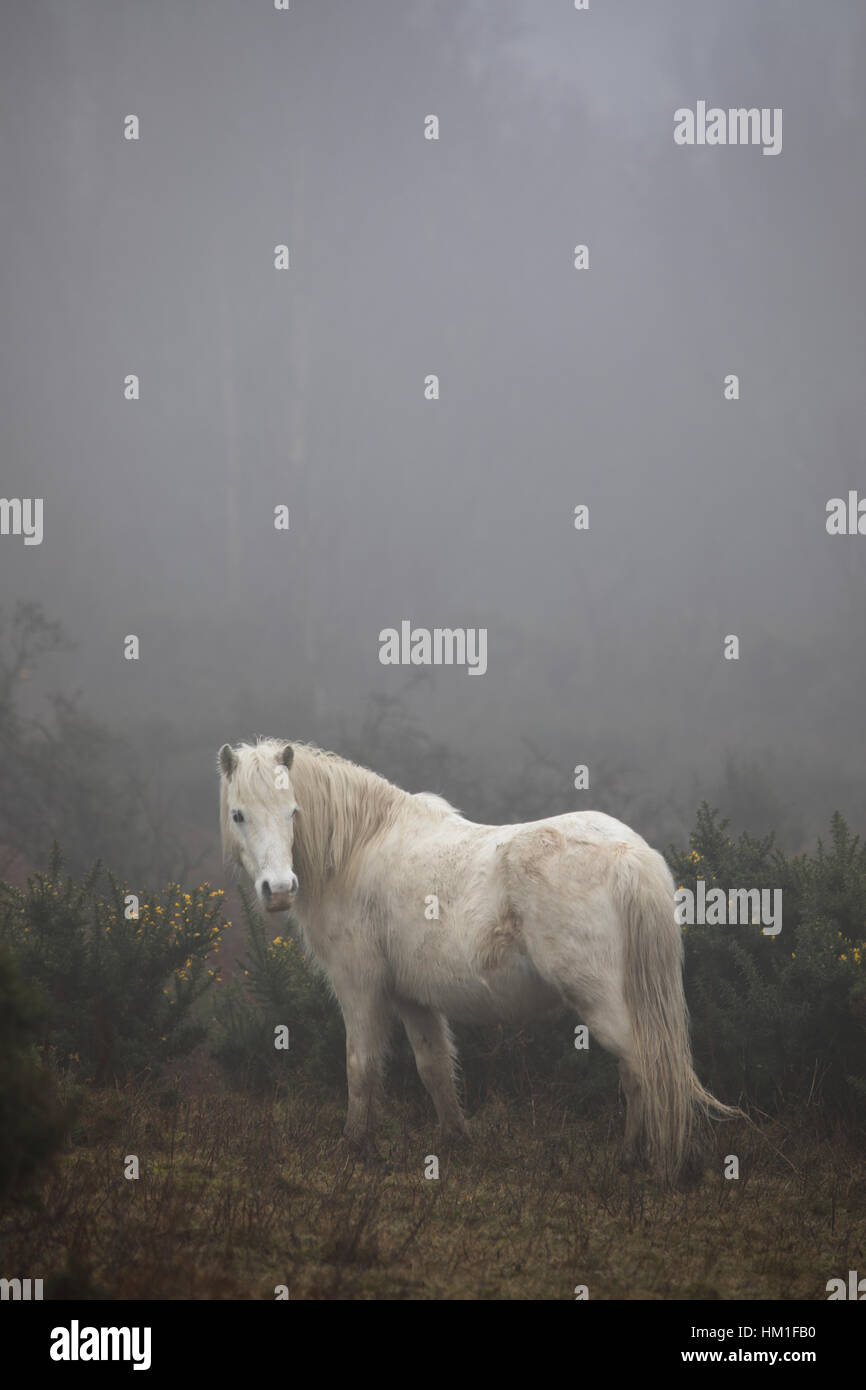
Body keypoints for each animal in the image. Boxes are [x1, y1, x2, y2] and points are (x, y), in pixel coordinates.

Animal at [218, 737, 739, 1183]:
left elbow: (359, 1066)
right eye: (239, 814)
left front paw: (353, 1147)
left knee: (649, 1072)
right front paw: (456, 1139)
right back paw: (635, 1157)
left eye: (292, 811)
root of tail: (629, 854)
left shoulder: (360, 987)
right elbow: (434, 1068)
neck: (358, 847)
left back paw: (660, 1162)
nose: (279, 890)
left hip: (603, 1004)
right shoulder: (413, 998)